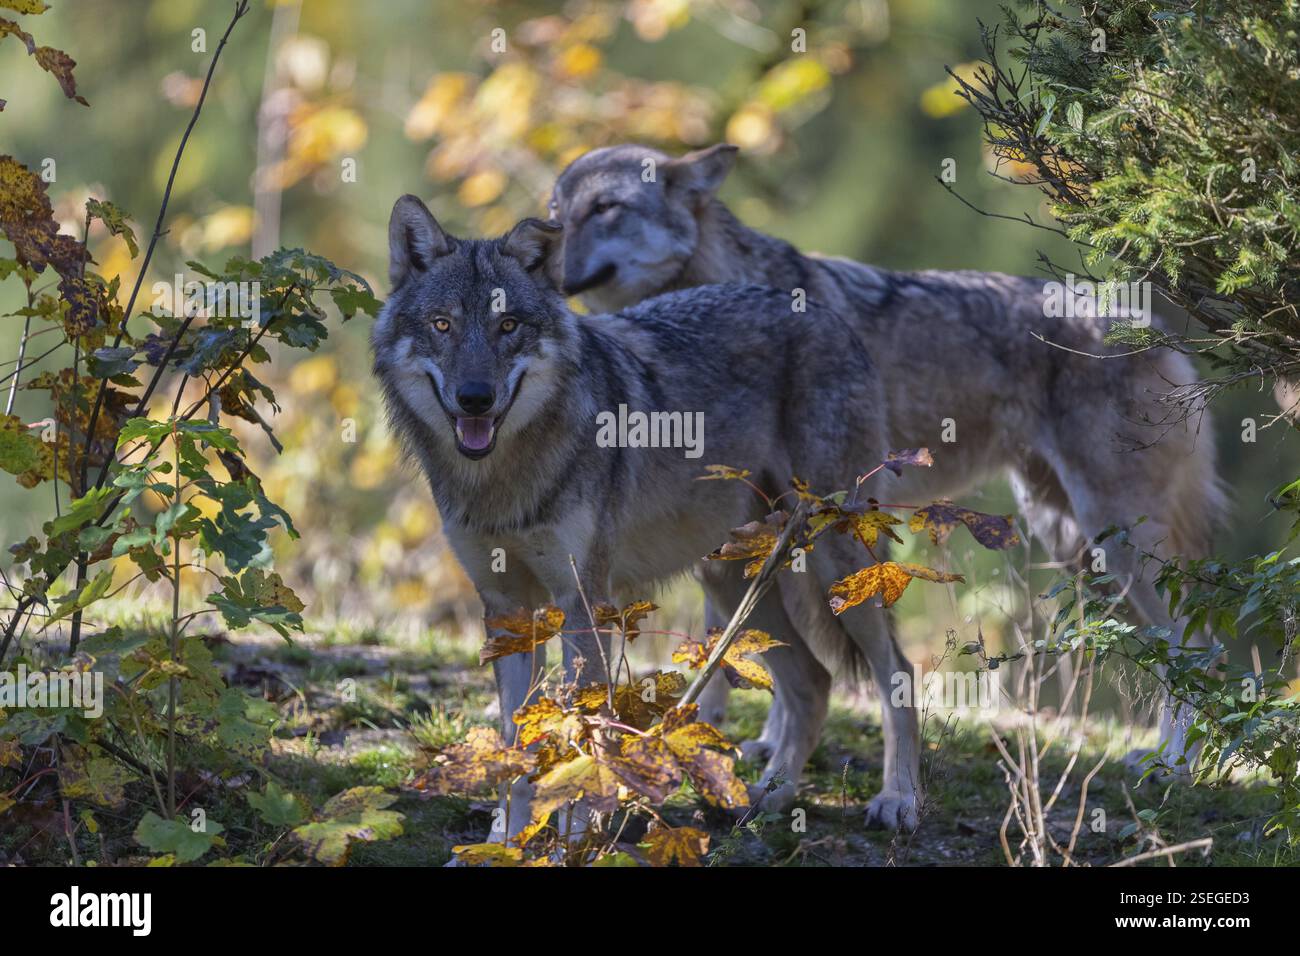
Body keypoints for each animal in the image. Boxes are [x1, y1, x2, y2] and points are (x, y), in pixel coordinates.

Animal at [371, 194, 924, 837]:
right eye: (443, 325)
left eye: (508, 326)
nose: (475, 399)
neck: (503, 476)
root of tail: (827, 315)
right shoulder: (506, 610)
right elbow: (515, 742)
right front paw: (505, 839)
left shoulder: (582, 603)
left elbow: (581, 731)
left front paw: (571, 838)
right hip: (734, 583)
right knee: (814, 680)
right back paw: (767, 798)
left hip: (839, 566)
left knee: (898, 670)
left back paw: (898, 800)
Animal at [549, 143, 1228, 774]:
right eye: (557, 214)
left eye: (605, 208)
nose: (545, 272)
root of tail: (1151, 327)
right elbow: (741, 648)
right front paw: (751, 741)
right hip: (1076, 546)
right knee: (1178, 643)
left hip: (1111, 541)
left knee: (1197, 644)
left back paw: (1177, 762)